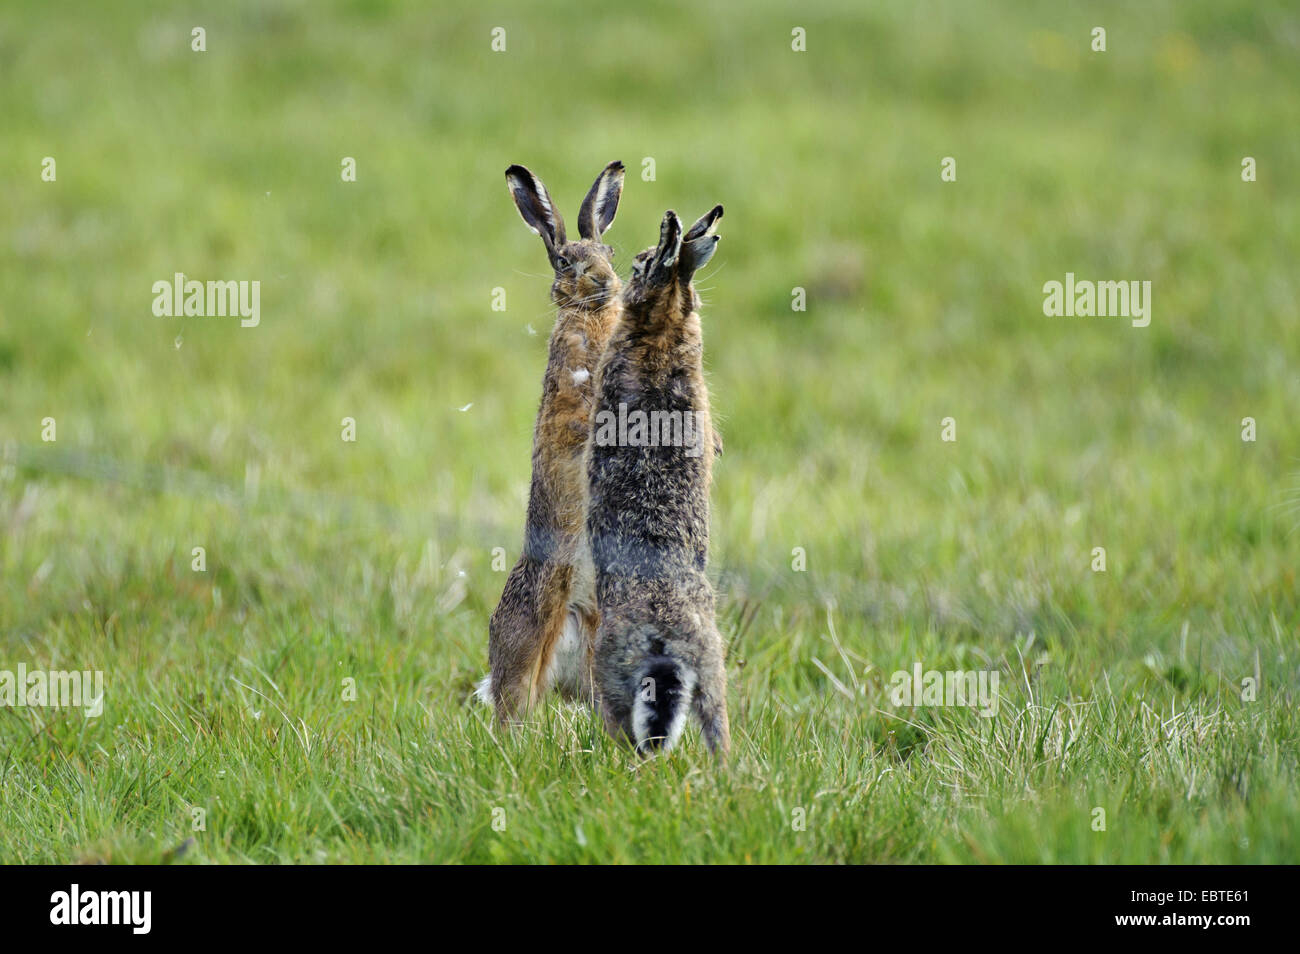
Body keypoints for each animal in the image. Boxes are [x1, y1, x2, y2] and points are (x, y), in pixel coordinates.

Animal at [479, 160, 626, 722]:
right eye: (565, 261)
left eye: (611, 253)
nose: (606, 282)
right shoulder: (570, 391)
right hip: (530, 627)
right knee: (510, 703)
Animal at [584, 205, 730, 756]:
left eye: (639, 263)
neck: (662, 326)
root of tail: (662, 630)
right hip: (711, 668)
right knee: (718, 733)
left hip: (609, 673)